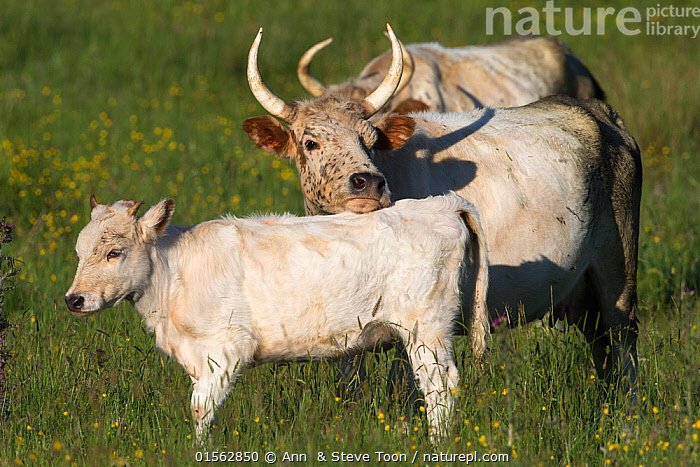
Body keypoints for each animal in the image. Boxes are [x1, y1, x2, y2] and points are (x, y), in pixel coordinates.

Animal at [65, 194, 490, 440]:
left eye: (114, 252)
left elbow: (201, 407)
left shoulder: (226, 347)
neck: (171, 275)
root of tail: (441, 203)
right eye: (79, 252)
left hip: (426, 327)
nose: (74, 299)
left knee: (440, 386)